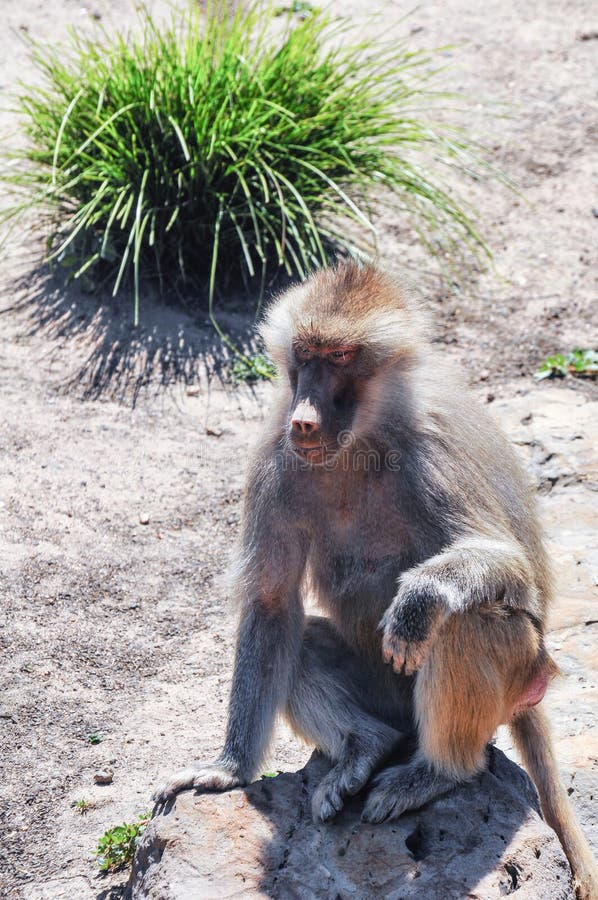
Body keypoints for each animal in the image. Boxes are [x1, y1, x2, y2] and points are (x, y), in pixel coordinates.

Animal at [154, 262, 598, 899]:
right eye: (306, 354)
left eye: (340, 357)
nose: (304, 418)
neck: (360, 438)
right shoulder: (275, 457)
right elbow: (270, 604)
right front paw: (226, 770)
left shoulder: (434, 453)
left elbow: (511, 567)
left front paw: (419, 598)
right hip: (389, 697)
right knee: (300, 639)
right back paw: (364, 749)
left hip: (518, 670)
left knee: (465, 623)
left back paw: (436, 771)